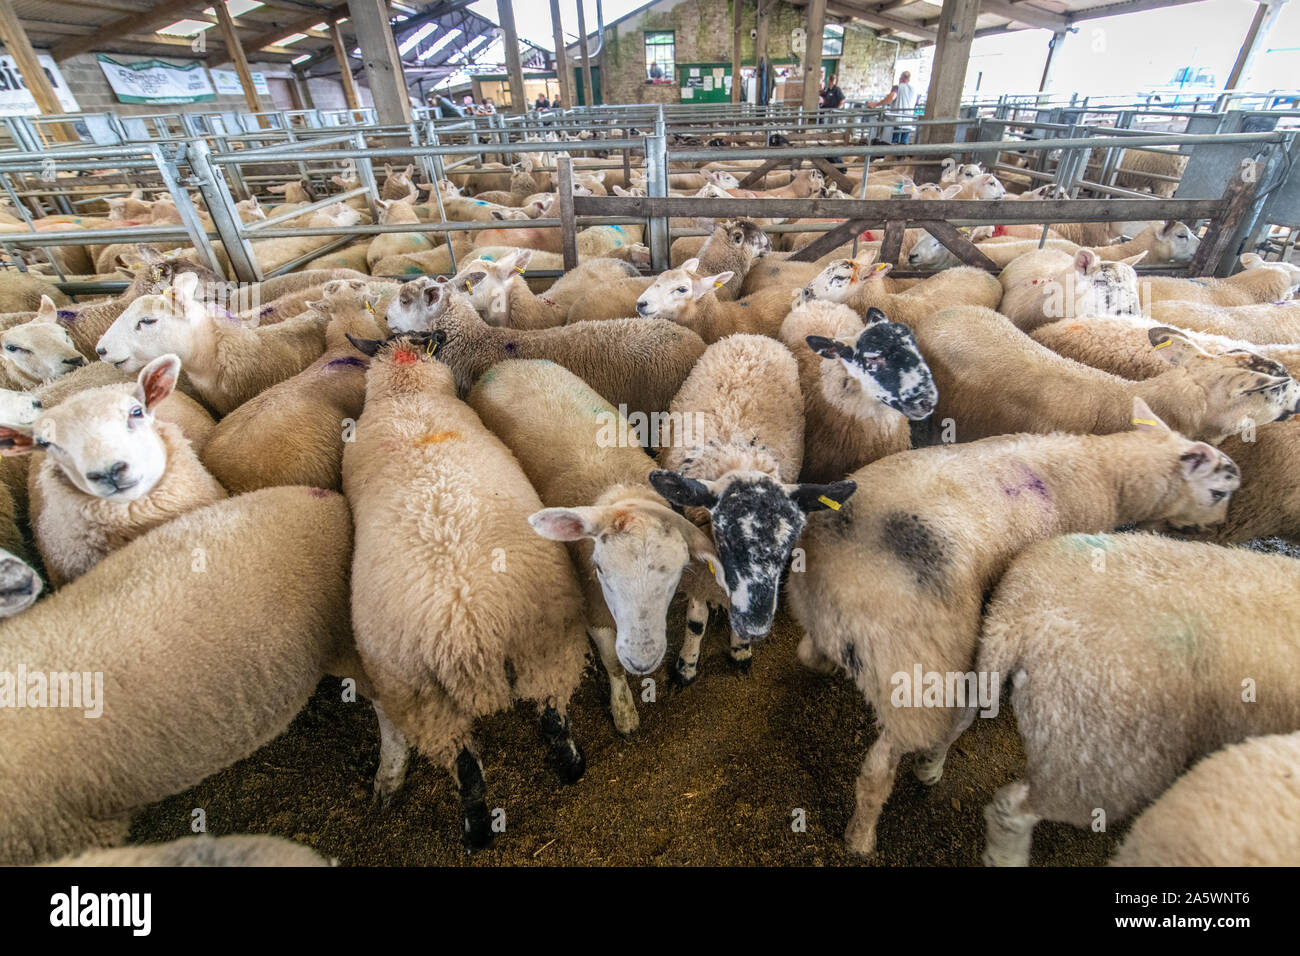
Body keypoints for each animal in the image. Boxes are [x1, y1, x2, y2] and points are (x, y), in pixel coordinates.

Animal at [342, 333, 587, 849]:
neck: (408, 397)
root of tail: (469, 629)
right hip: (535, 651)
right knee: (544, 720)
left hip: (432, 689)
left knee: (483, 756)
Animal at [467, 359, 720, 733]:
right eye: (600, 568)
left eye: (677, 572)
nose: (641, 661)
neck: (622, 493)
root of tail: (508, 363)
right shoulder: (594, 607)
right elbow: (612, 662)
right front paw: (624, 711)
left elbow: (697, 615)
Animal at [652, 334, 855, 682]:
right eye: (724, 538)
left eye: (787, 548)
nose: (757, 624)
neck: (736, 458)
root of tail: (751, 337)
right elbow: (696, 621)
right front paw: (686, 667)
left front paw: (740, 650)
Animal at [787, 406, 1242, 857]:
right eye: (1219, 492)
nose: (1216, 528)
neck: (1107, 472)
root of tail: (843, 577)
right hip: (914, 677)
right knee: (878, 771)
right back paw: (862, 836)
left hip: (814, 613)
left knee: (808, 652)